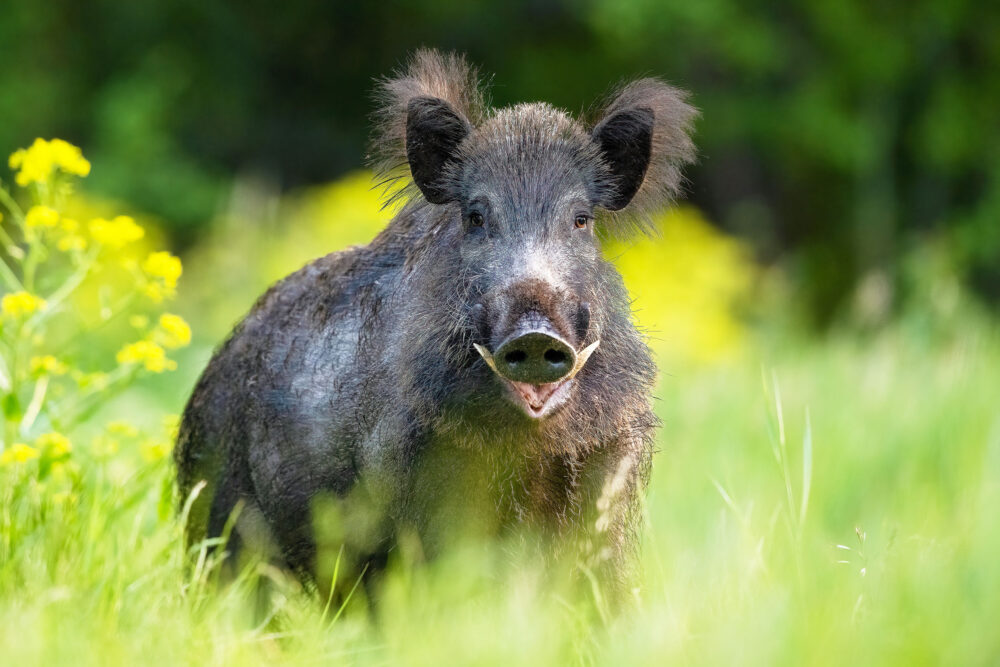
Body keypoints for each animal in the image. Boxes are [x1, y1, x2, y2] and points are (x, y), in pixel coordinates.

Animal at [175, 50, 696, 596]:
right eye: (475, 217)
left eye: (581, 220)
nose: (535, 333)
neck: (530, 454)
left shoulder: (610, 479)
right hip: (216, 516)